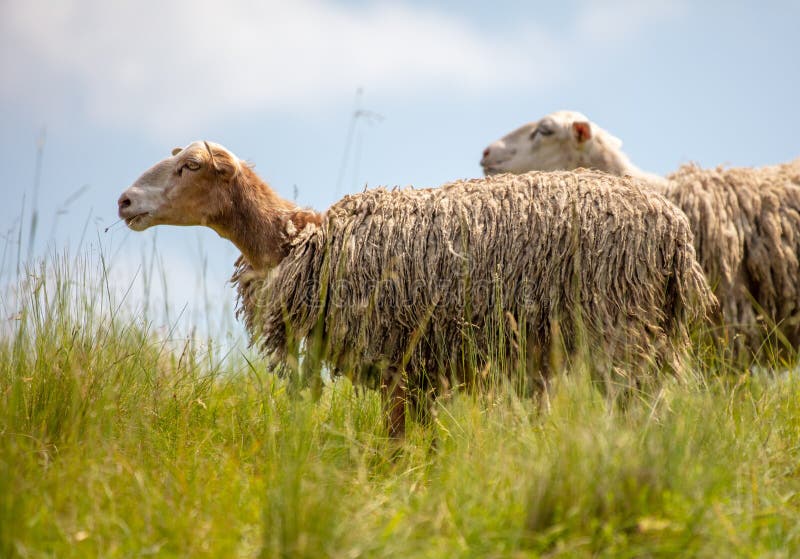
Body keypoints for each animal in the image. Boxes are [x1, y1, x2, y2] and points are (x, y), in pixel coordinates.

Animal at [118, 140, 716, 437]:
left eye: (191, 165)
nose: (124, 201)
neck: (301, 240)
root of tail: (675, 231)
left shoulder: (398, 358)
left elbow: (397, 444)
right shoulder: (416, 371)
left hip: (621, 335)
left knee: (644, 413)